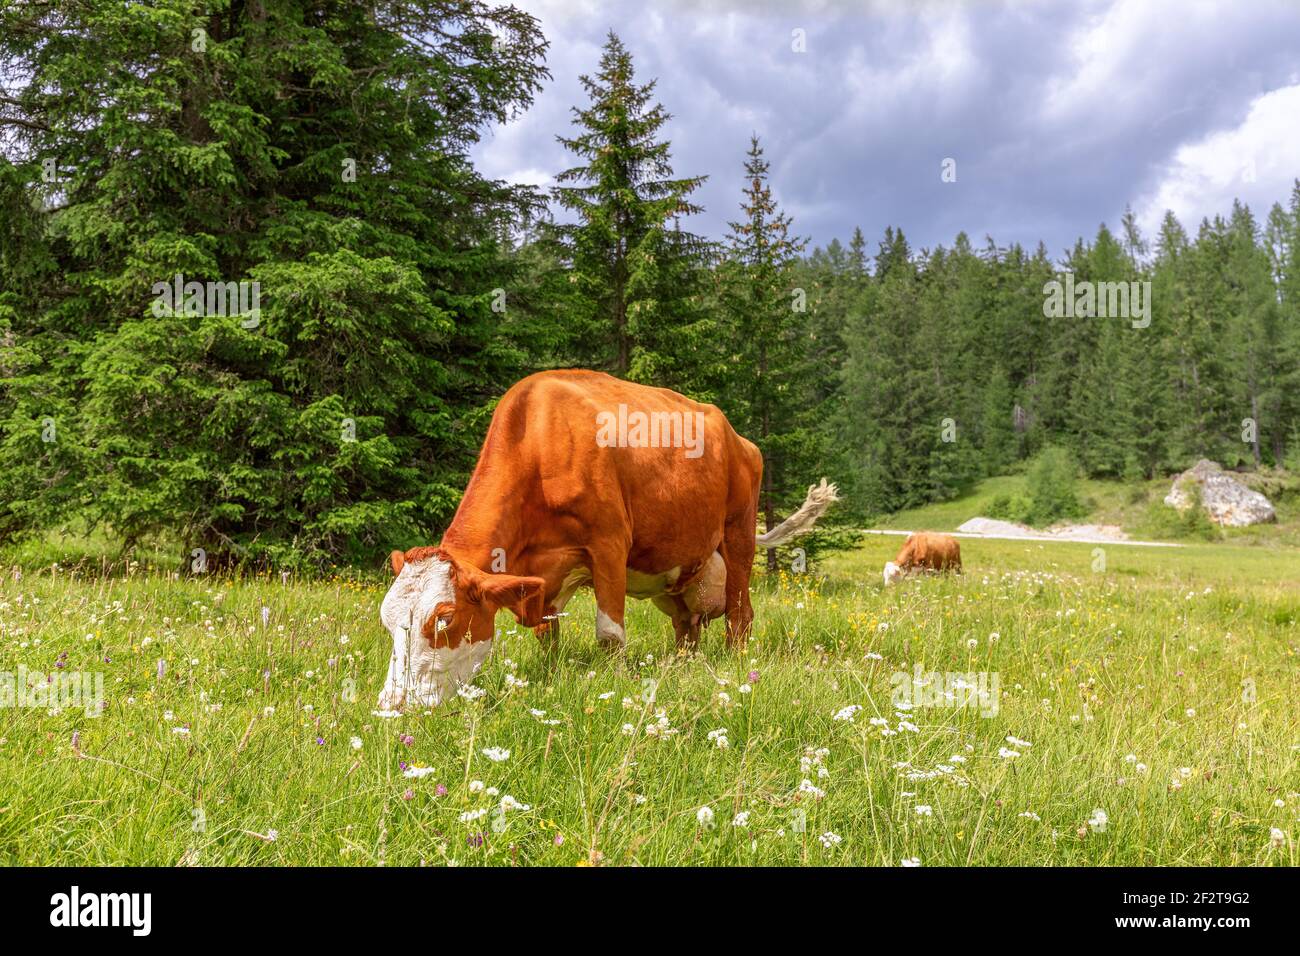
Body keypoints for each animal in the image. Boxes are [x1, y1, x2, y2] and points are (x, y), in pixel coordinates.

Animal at [378, 369, 838, 709]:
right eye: (386, 621)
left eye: (445, 619)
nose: (392, 705)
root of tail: (738, 438)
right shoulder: (542, 582)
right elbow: (546, 635)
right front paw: (550, 677)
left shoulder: (610, 545)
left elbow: (610, 634)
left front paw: (612, 684)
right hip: (674, 574)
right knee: (687, 625)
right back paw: (682, 667)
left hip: (737, 534)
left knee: (740, 616)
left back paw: (736, 667)